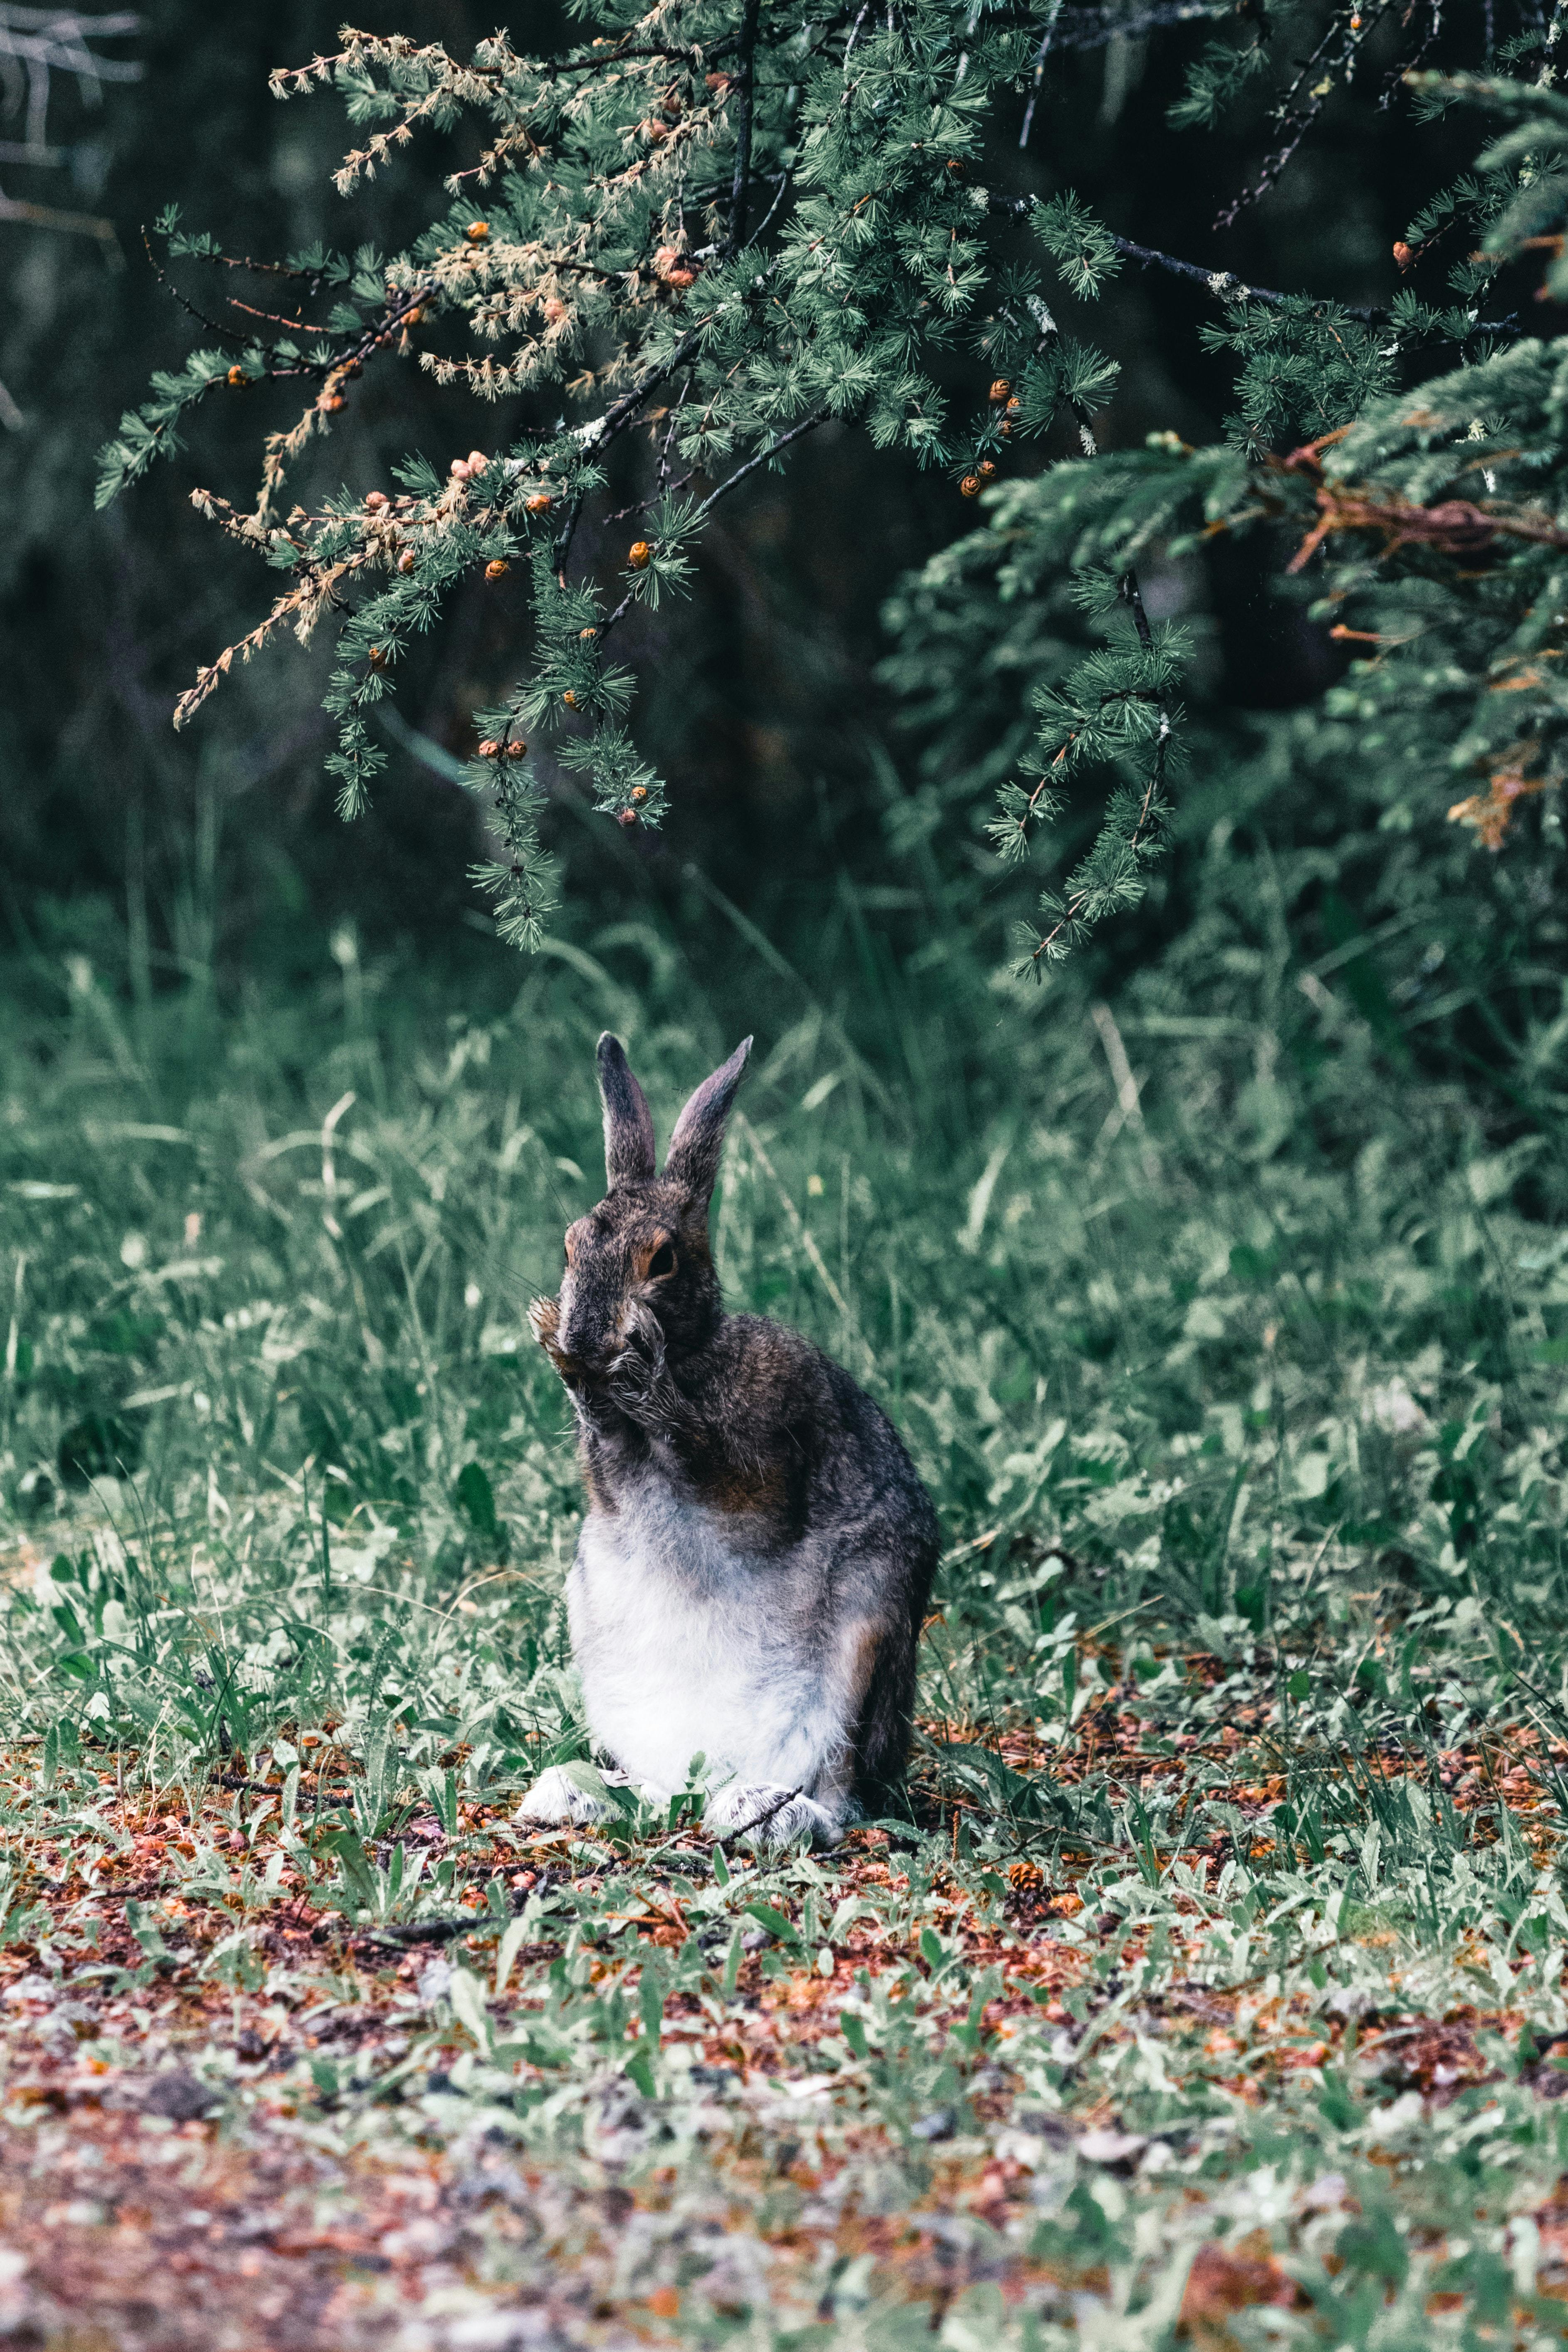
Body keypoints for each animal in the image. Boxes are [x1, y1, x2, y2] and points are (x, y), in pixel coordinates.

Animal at [516, 1032, 938, 1850]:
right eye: (571, 1245)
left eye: (662, 1260)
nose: (582, 1339)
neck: (694, 1351)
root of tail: (711, 1764)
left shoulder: (768, 1447)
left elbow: (720, 1467)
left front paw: (643, 1379)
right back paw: (578, 1793)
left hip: (865, 1642)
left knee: (840, 1797)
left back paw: (763, 1809)